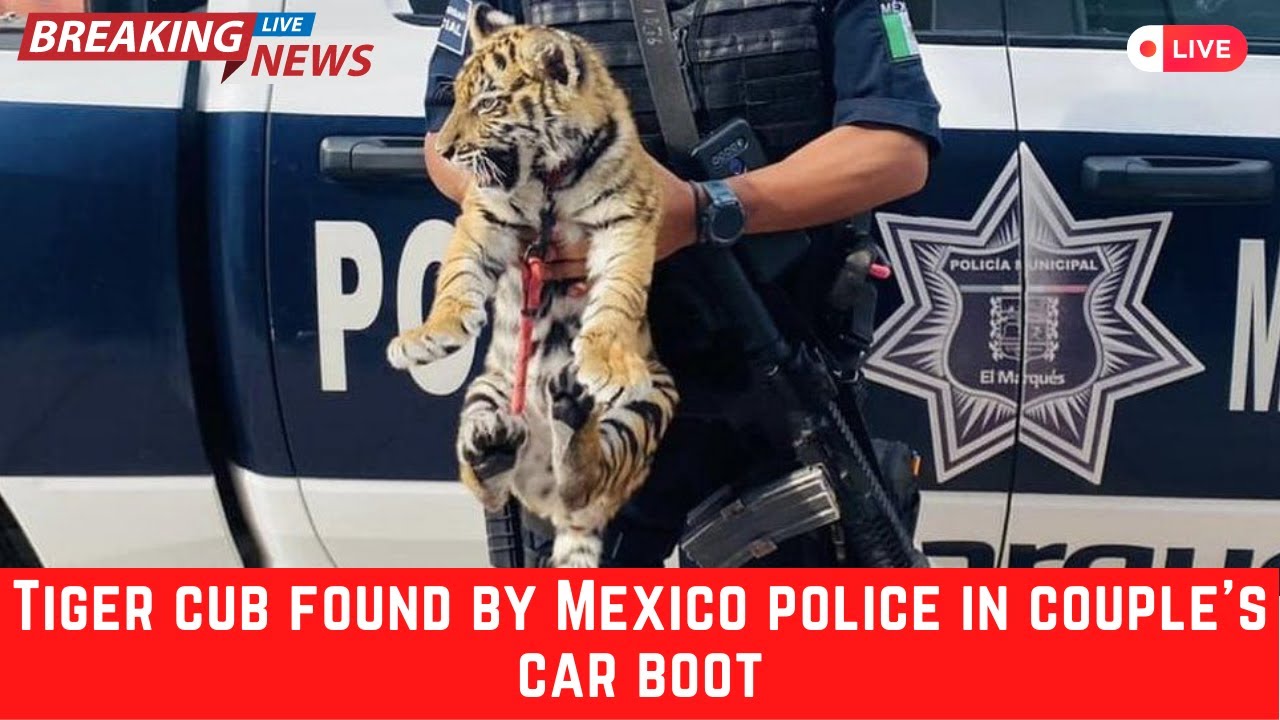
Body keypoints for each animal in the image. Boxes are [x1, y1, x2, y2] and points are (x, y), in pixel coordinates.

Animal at [385, 1, 680, 568]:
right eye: (455, 99)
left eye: (489, 103)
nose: (446, 150)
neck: (547, 176)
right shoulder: (484, 216)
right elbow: (456, 277)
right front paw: (428, 335)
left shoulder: (627, 221)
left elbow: (619, 295)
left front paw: (605, 358)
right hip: (489, 389)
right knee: (489, 483)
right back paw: (493, 449)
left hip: (649, 403)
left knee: (585, 484)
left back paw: (571, 404)